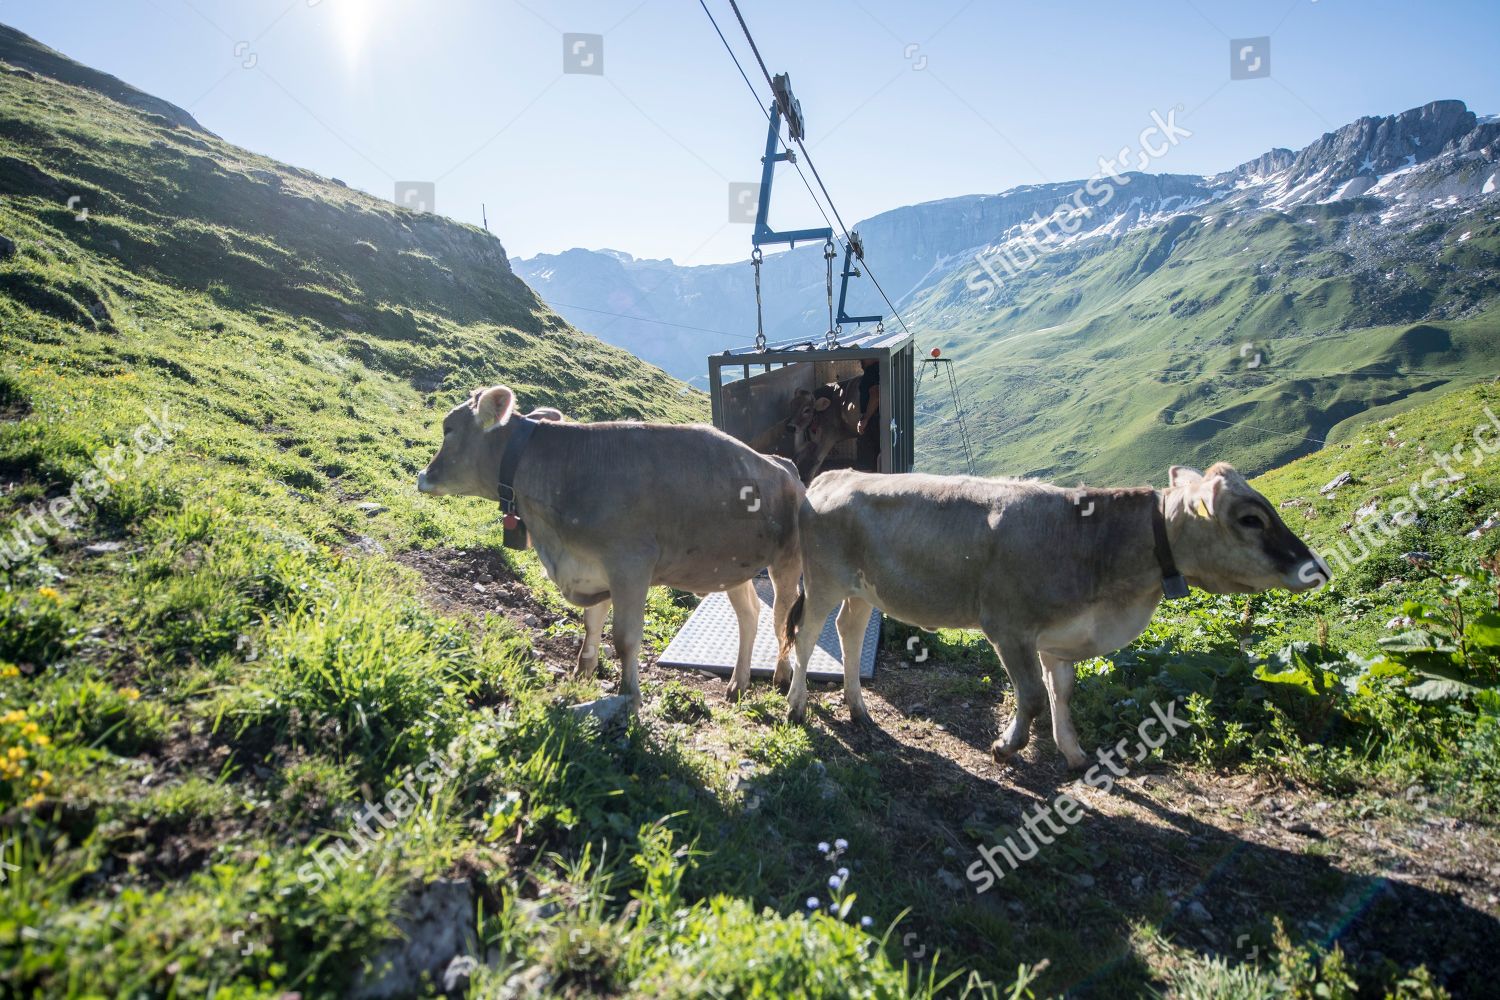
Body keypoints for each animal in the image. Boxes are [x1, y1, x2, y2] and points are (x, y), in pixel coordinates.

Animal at [418, 385, 805, 713]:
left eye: (448, 428)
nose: (422, 476)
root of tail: (783, 464)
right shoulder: (591, 569)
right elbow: (591, 624)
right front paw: (582, 674)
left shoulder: (630, 566)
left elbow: (625, 638)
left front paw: (629, 695)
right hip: (733, 566)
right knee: (749, 614)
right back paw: (739, 683)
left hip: (788, 562)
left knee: (783, 616)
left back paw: (782, 674)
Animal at [780, 463, 1330, 769]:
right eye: (1250, 519)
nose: (1316, 568)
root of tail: (835, 475)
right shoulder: (1008, 629)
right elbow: (1030, 696)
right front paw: (1008, 747)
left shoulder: (1060, 639)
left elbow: (1061, 693)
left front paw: (1074, 754)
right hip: (824, 580)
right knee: (806, 638)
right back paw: (797, 706)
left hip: (862, 590)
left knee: (850, 634)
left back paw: (857, 708)